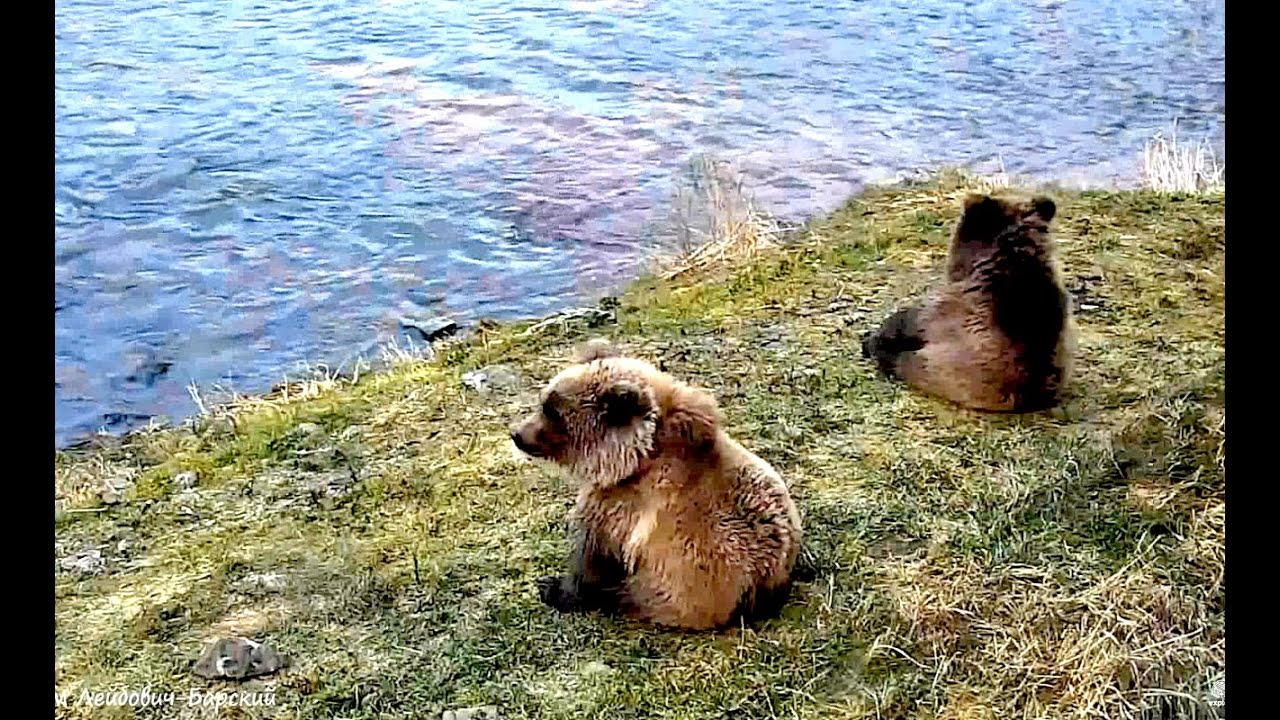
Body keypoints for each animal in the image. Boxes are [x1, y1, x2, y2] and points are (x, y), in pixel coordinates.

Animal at [510, 339, 803, 630]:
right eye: (544, 399)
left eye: (553, 412)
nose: (517, 434)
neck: (635, 458)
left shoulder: (621, 509)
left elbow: (592, 557)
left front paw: (553, 588)